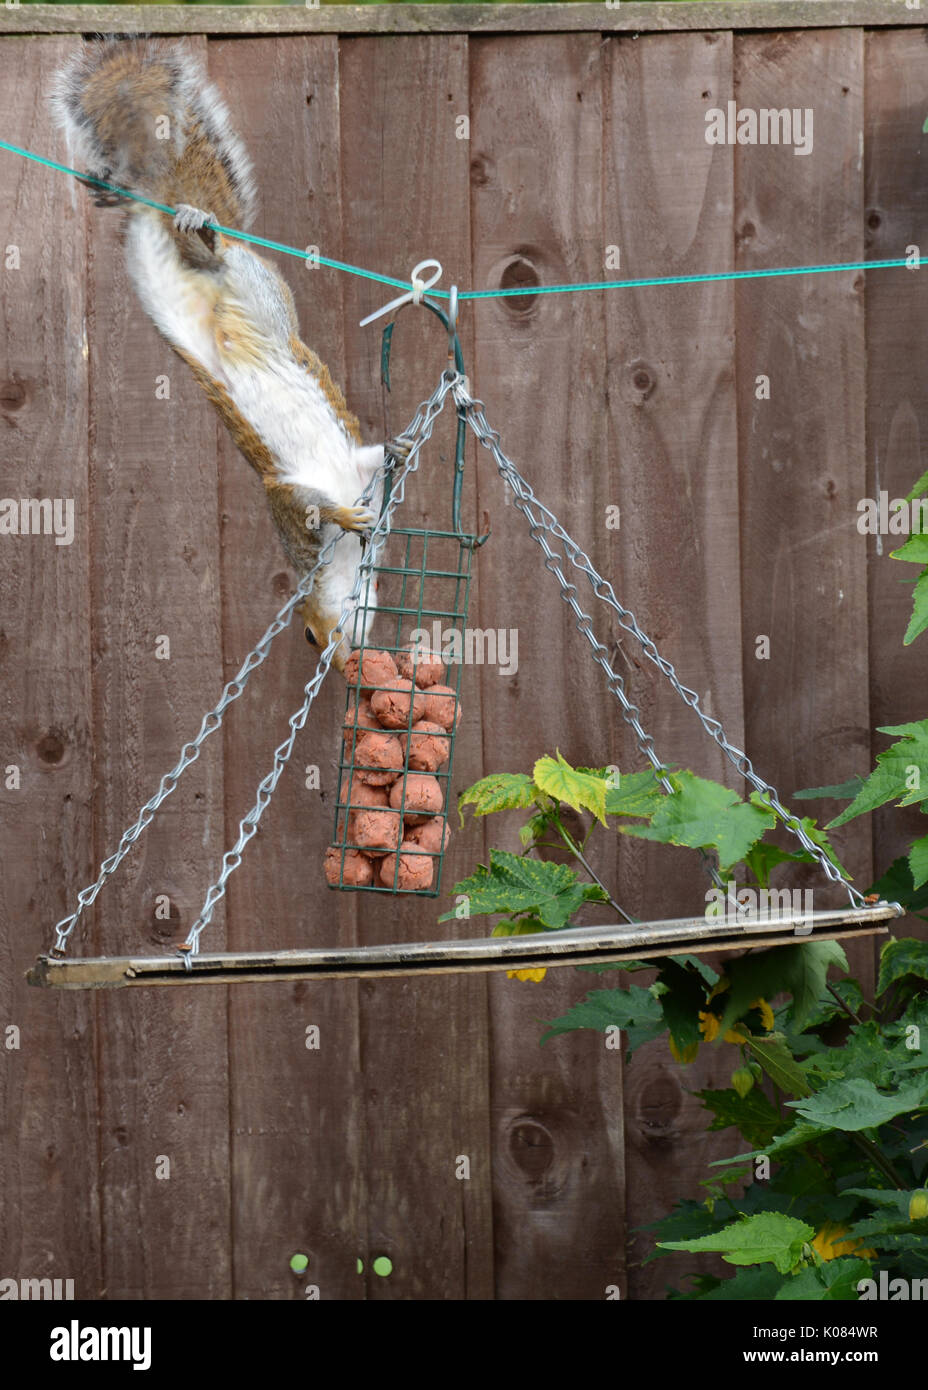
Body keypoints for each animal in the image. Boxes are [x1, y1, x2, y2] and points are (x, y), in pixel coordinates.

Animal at [53, 38, 401, 669]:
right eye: (310, 636)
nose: (344, 663)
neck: (337, 564)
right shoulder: (288, 499)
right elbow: (319, 500)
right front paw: (348, 511)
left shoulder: (349, 475)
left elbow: (372, 461)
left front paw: (401, 449)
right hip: (259, 289)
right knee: (202, 253)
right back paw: (193, 229)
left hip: (265, 297)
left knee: (213, 259)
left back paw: (198, 231)